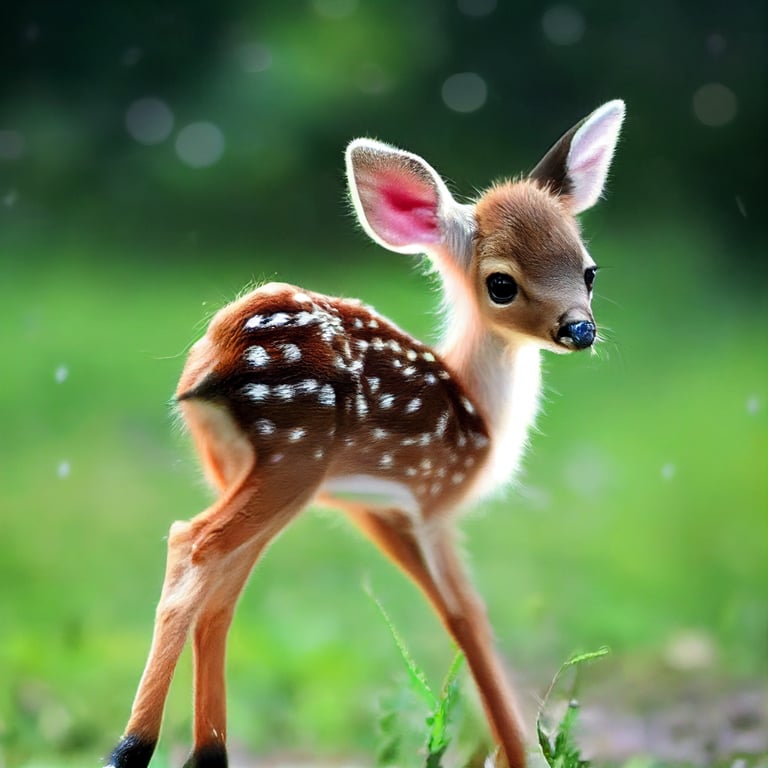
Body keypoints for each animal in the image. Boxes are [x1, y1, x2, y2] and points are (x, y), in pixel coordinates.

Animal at [104, 100, 625, 768]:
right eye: (501, 283)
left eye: (589, 271)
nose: (580, 330)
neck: (478, 409)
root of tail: (216, 354)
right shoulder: (433, 501)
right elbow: (468, 618)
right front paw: (516, 752)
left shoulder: (375, 510)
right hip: (293, 459)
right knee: (192, 545)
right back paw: (131, 745)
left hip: (242, 468)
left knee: (221, 588)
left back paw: (207, 752)